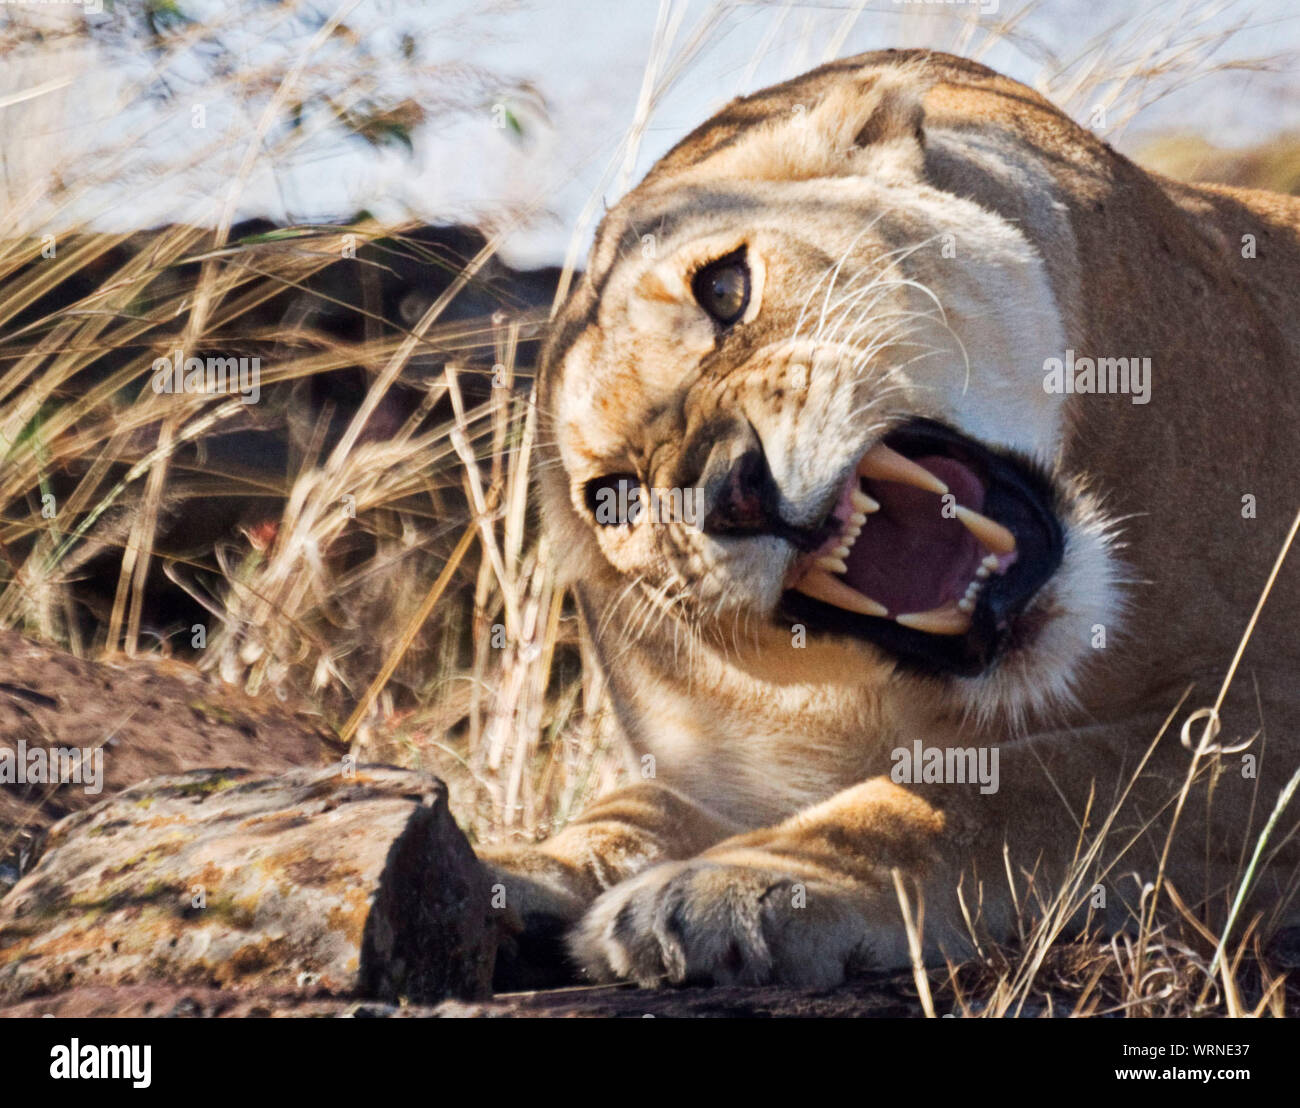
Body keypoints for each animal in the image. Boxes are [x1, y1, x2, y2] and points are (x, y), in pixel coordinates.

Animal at [480, 49, 1300, 990]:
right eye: (612, 496)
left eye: (725, 286)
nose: (733, 491)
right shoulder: (722, 773)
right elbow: (625, 811)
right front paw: (514, 874)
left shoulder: (1260, 719)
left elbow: (1006, 791)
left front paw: (742, 883)